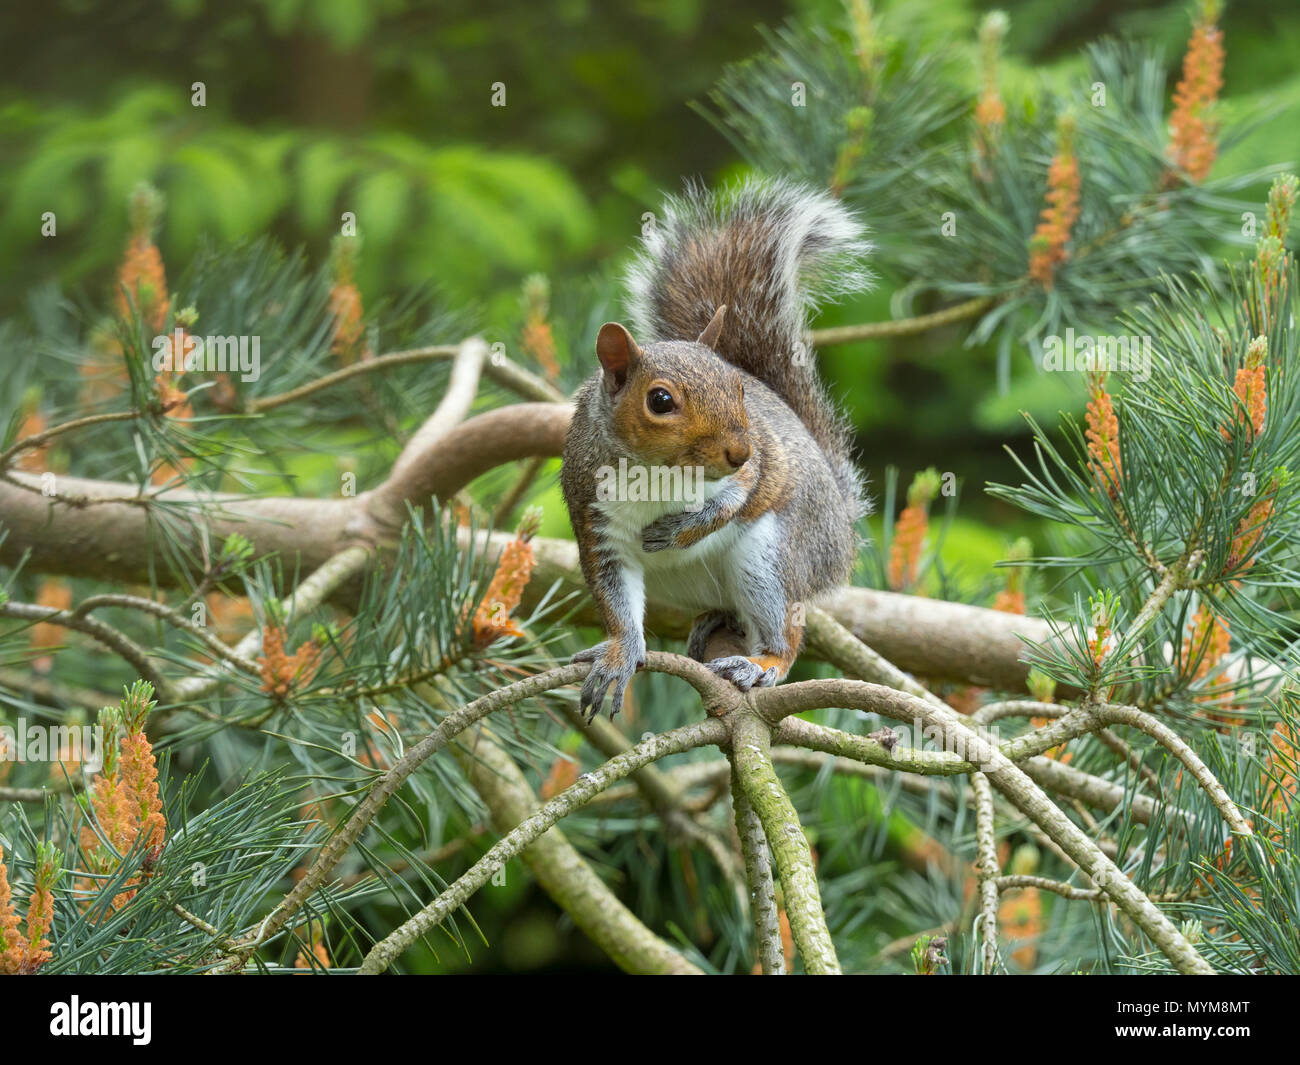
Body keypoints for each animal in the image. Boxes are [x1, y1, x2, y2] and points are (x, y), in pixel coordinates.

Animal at [562, 178, 872, 719]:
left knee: (787, 632)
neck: (659, 475)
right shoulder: (596, 520)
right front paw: (620, 654)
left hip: (773, 557)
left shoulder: (760, 465)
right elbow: (616, 603)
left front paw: (681, 529)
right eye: (660, 400)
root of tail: (841, 534)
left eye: (739, 385)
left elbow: (740, 495)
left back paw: (762, 663)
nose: (738, 452)